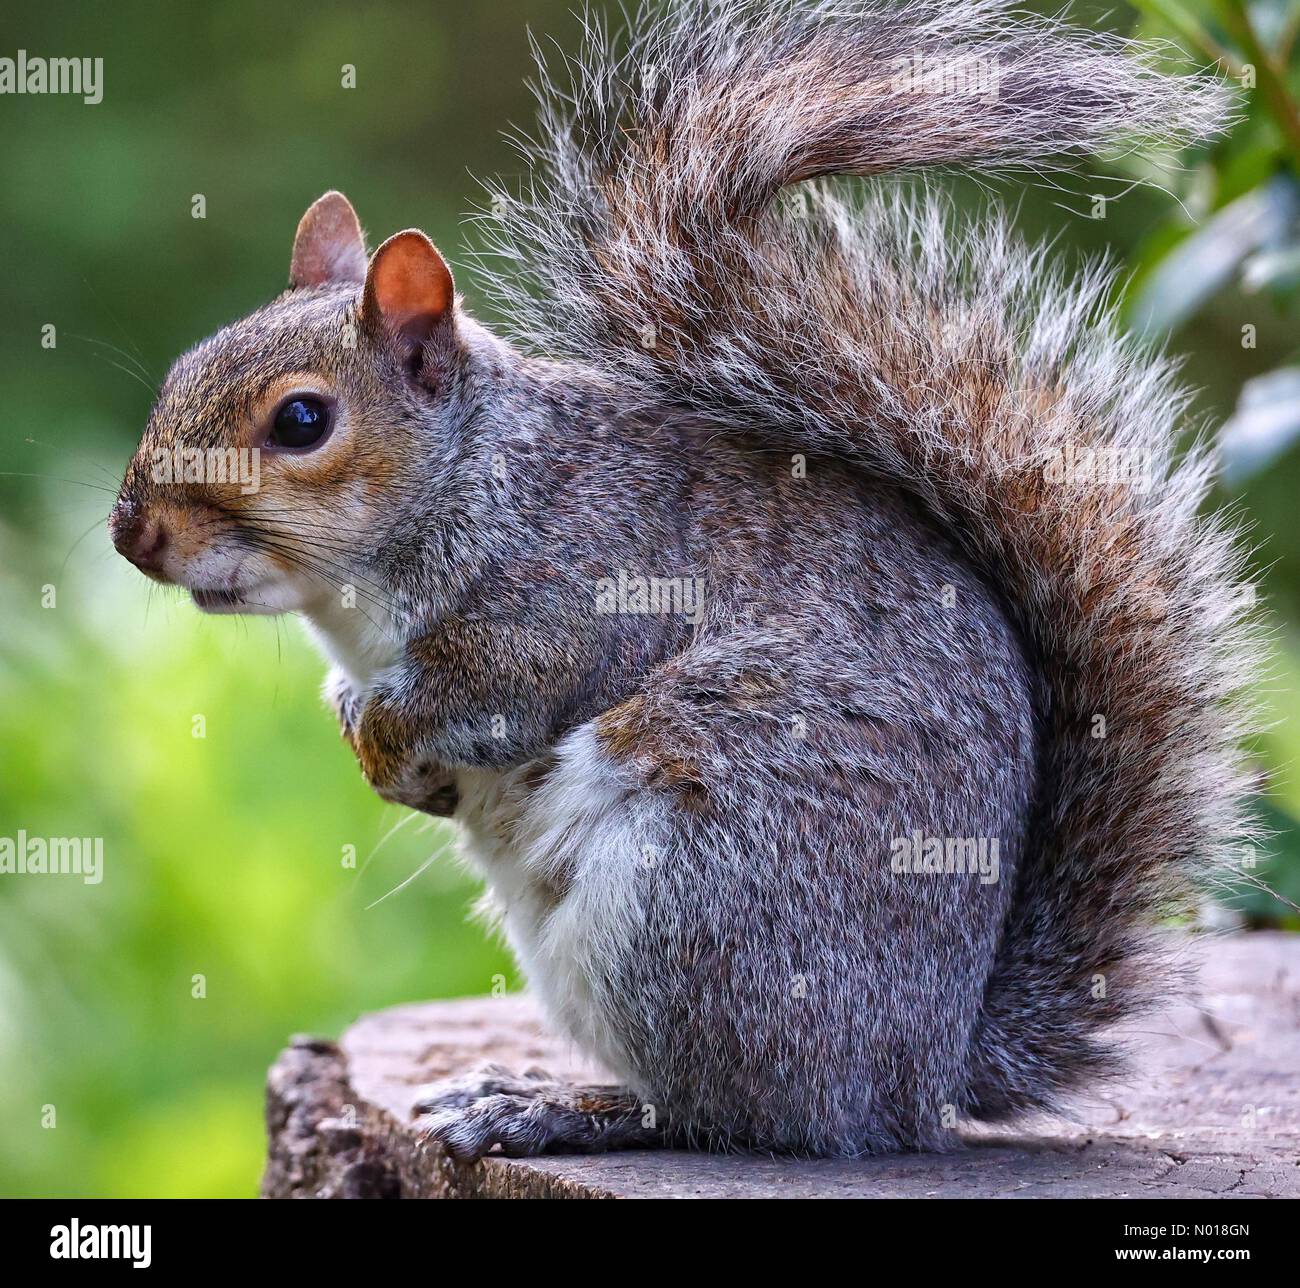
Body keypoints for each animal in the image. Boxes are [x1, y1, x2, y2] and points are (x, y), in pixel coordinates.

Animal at [110, 0, 1261, 1159]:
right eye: (184, 367)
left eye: (302, 420)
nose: (131, 535)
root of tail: (921, 1078)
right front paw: (372, 742)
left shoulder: (566, 599)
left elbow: (488, 693)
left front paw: (388, 737)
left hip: (699, 888)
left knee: (723, 1110)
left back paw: (551, 1104)